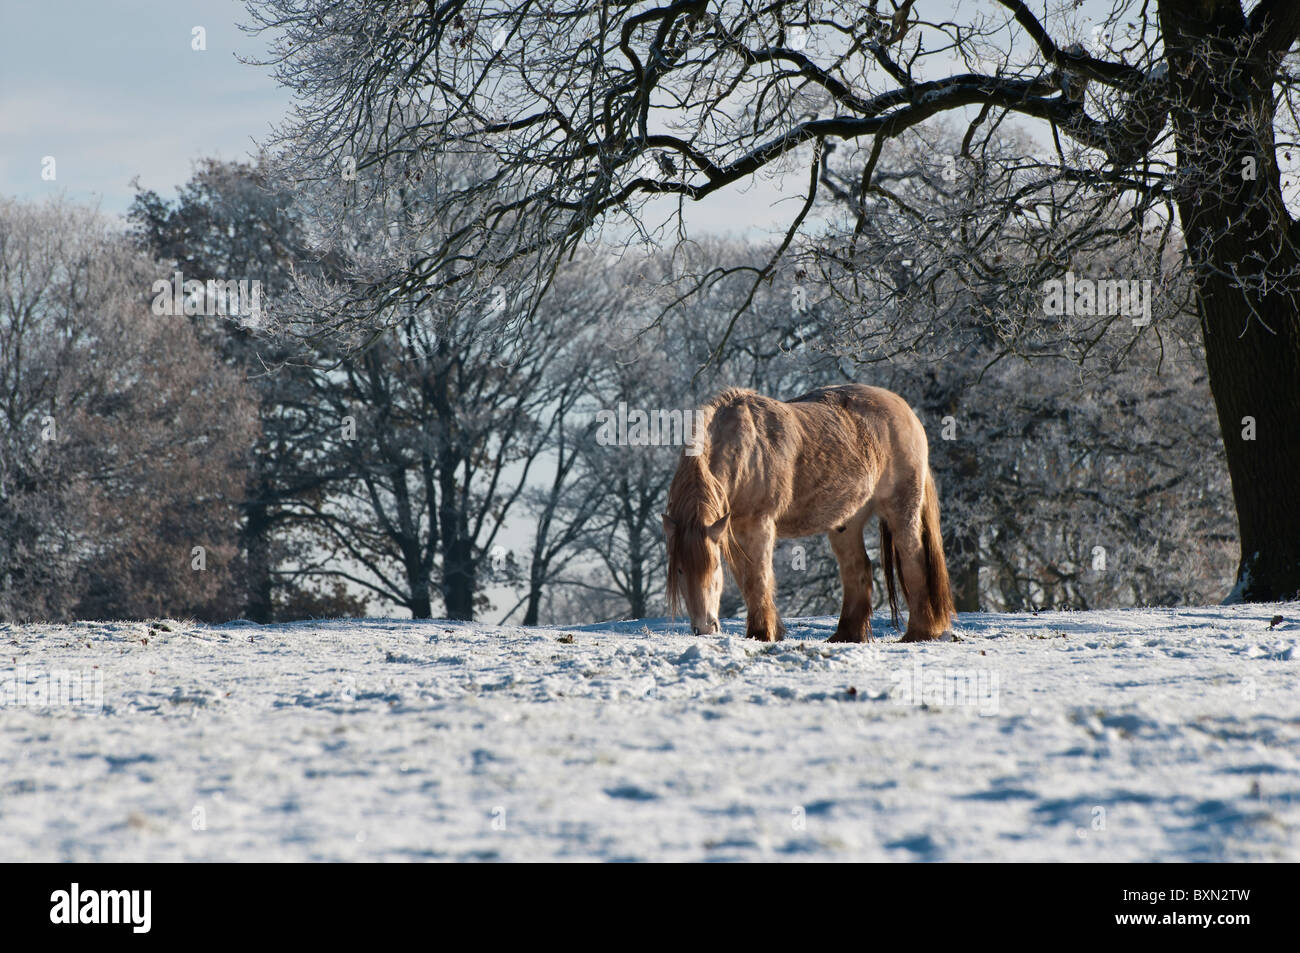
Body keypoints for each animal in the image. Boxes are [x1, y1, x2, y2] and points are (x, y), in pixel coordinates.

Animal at [662, 384, 954, 643]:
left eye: (713, 567)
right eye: (679, 570)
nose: (705, 628)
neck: (744, 451)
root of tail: (906, 410)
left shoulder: (758, 526)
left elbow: (758, 578)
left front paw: (762, 634)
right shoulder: (732, 532)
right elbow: (747, 581)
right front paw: (771, 631)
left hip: (902, 510)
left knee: (914, 560)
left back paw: (919, 632)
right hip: (847, 521)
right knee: (857, 569)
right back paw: (845, 636)